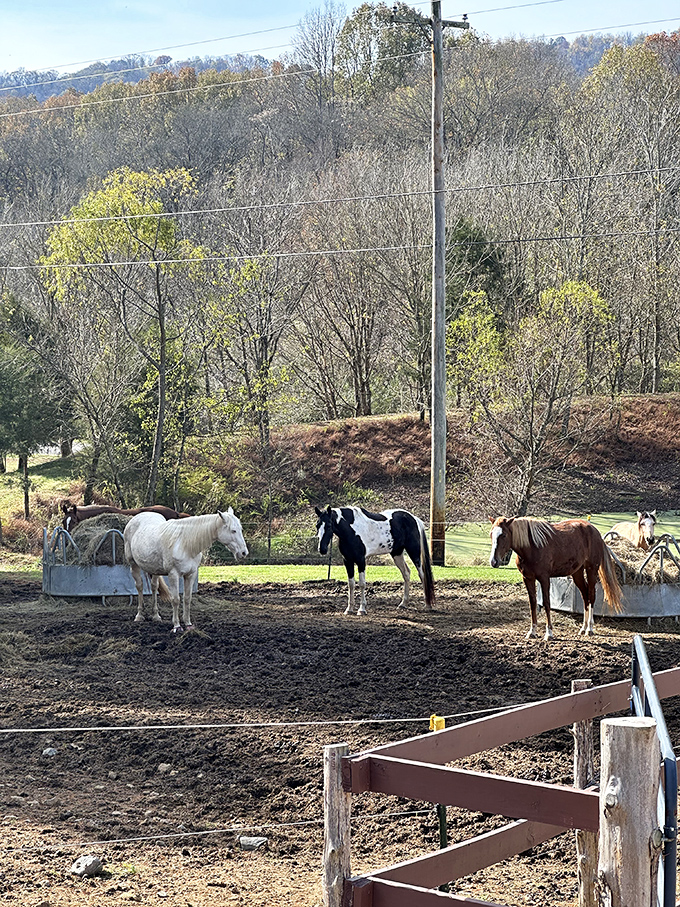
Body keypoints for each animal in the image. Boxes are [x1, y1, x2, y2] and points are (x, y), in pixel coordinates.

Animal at [488, 516, 623, 641]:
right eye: (491, 534)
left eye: (504, 535)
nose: (494, 561)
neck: (532, 547)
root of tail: (595, 531)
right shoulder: (527, 578)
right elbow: (533, 604)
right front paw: (532, 631)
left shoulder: (544, 579)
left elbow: (547, 603)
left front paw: (549, 633)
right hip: (577, 573)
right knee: (585, 597)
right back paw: (583, 628)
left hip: (591, 570)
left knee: (591, 596)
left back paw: (589, 628)